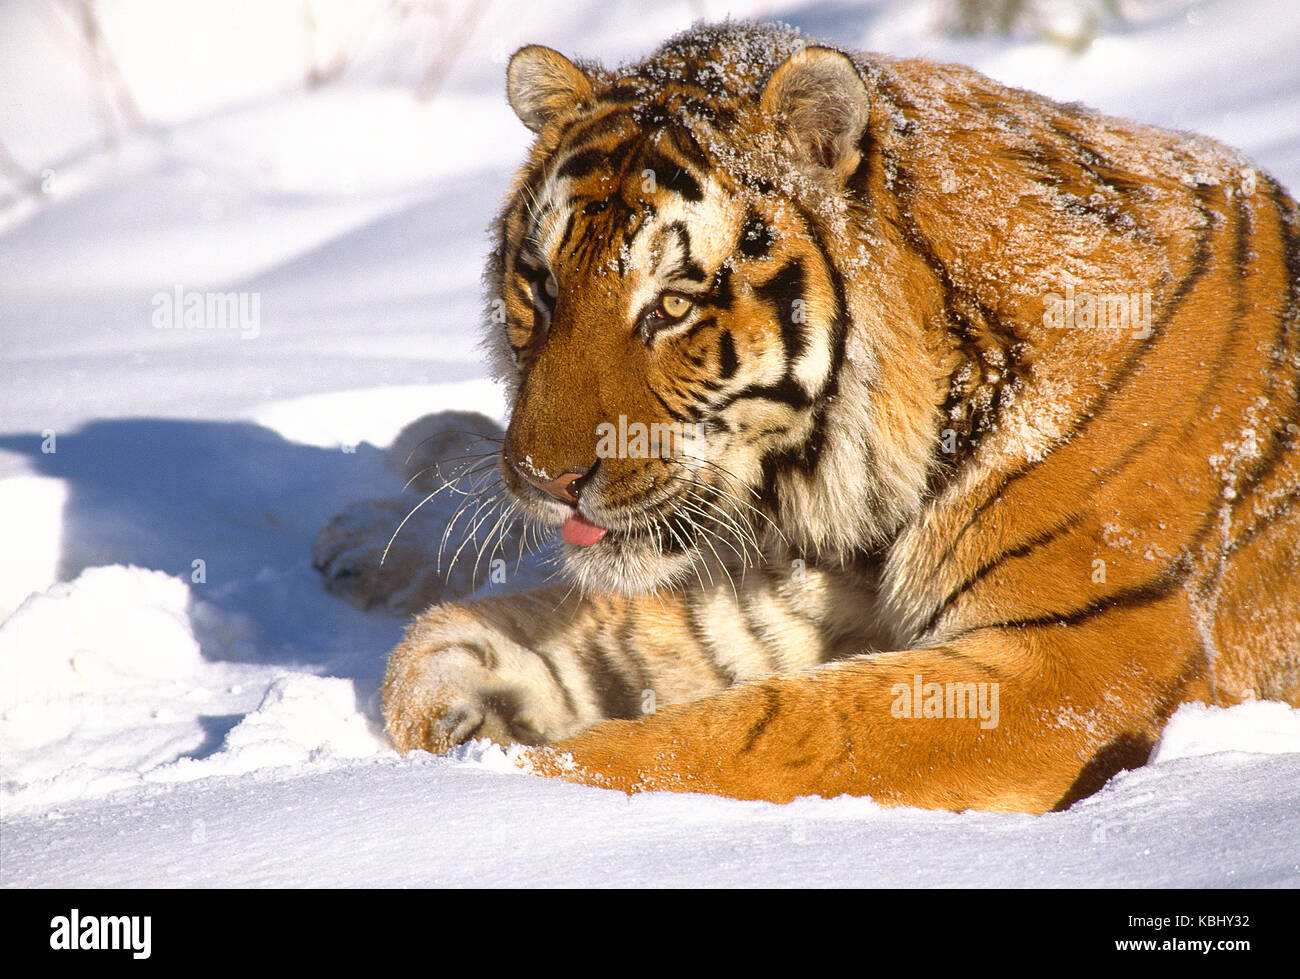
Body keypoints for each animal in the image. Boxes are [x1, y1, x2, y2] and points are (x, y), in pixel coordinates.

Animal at [376, 21, 1300, 813]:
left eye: (672, 305)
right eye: (541, 288)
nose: (543, 480)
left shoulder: (1075, 654)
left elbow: (744, 738)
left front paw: (496, 788)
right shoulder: (801, 594)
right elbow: (516, 644)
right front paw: (457, 702)